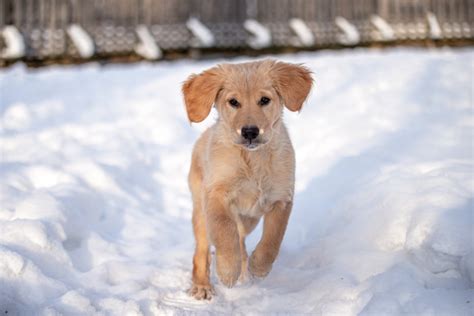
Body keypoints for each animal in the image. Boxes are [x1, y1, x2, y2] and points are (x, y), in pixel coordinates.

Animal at [183, 59, 312, 298]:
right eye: (233, 102)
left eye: (264, 100)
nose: (250, 132)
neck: (252, 160)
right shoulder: (216, 195)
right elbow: (224, 231)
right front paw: (227, 270)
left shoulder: (281, 198)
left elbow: (273, 239)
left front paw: (259, 266)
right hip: (200, 211)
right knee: (202, 249)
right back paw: (202, 285)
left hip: (249, 219)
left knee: (241, 239)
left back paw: (244, 270)